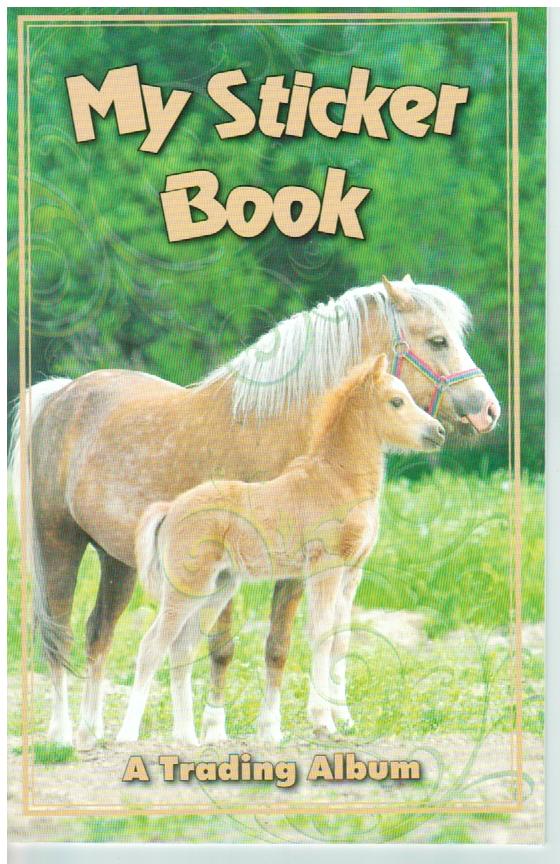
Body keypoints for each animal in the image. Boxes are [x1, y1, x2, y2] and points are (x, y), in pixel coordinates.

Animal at [116, 354, 446, 743]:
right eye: (396, 401)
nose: (438, 432)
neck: (337, 479)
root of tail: (171, 508)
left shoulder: (352, 571)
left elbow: (342, 638)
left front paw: (343, 718)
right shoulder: (325, 566)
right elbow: (322, 634)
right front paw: (322, 721)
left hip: (218, 587)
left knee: (181, 648)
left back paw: (188, 738)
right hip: (187, 586)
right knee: (152, 646)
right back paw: (127, 735)